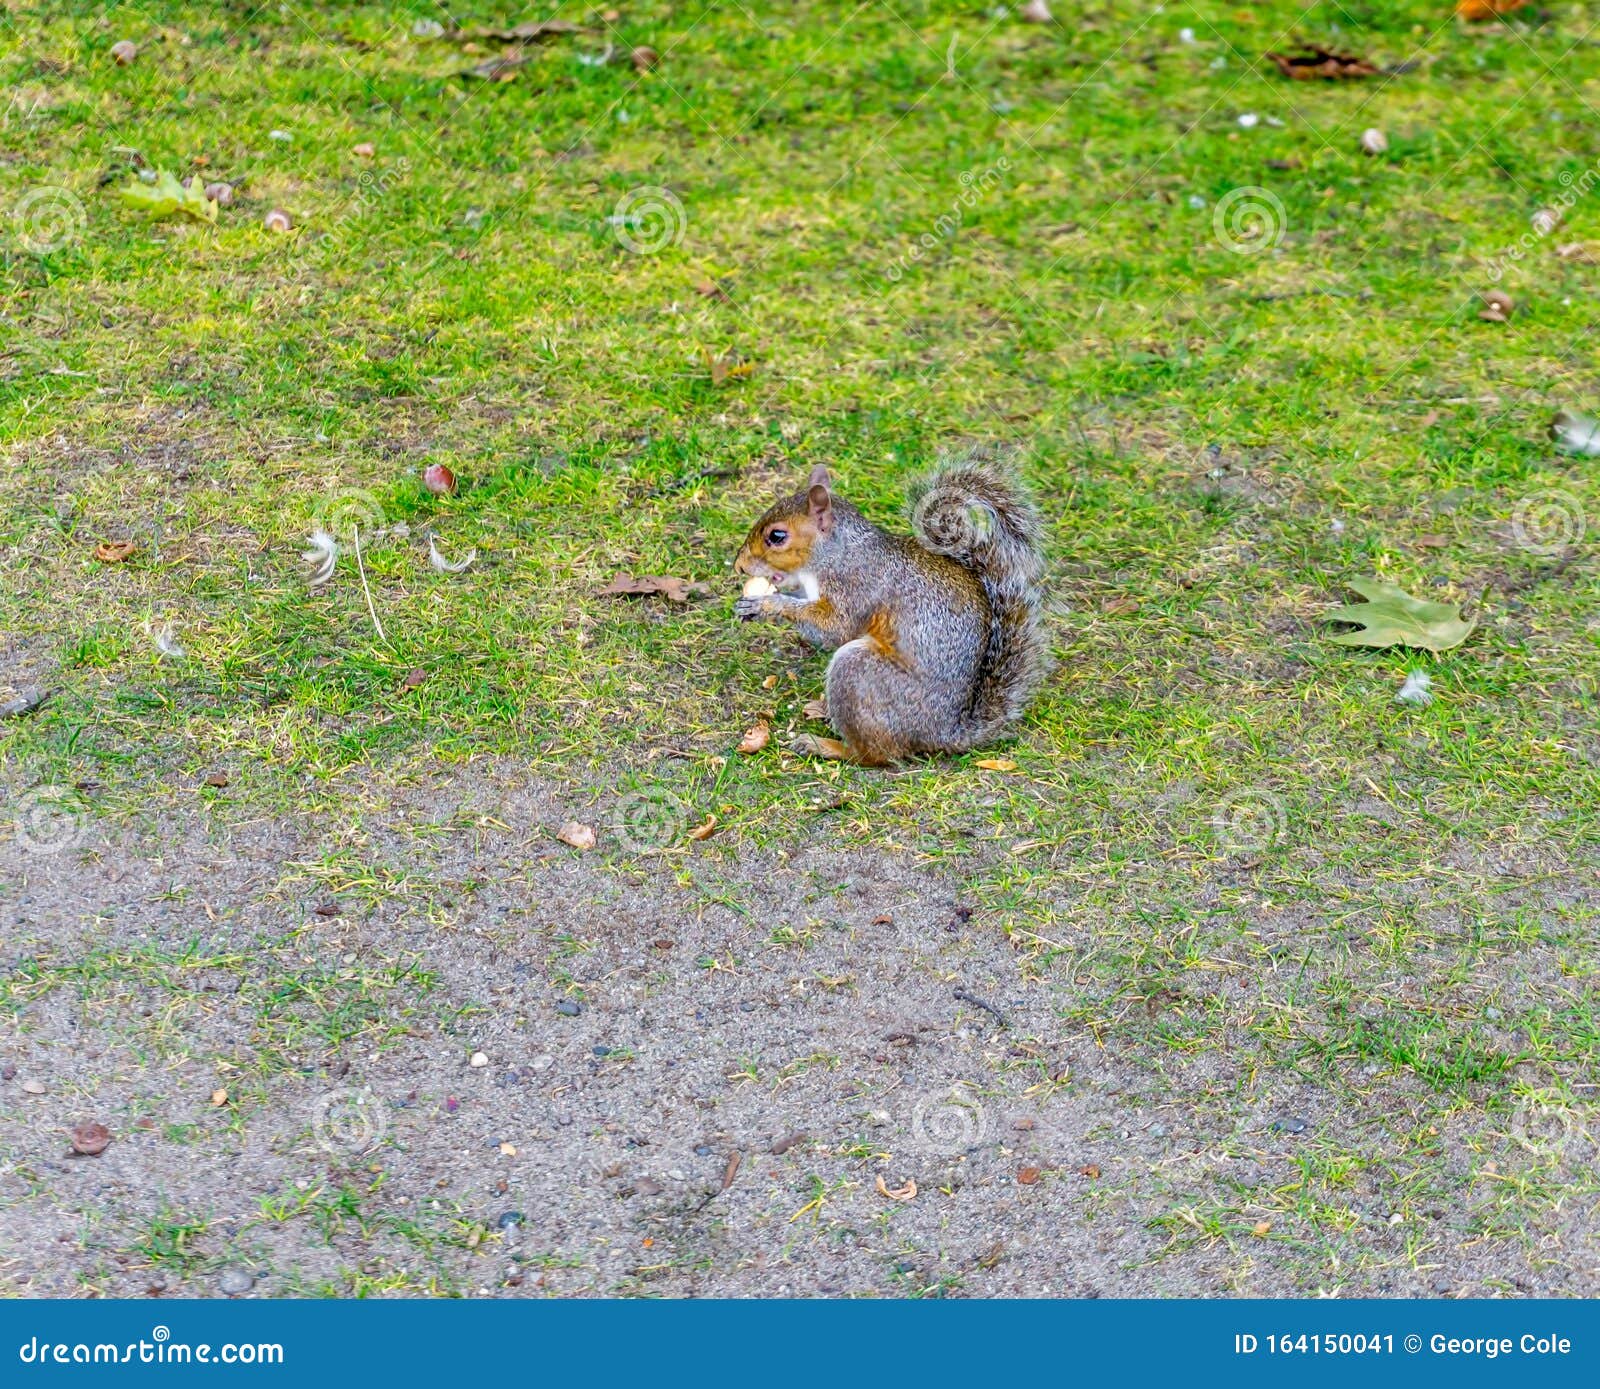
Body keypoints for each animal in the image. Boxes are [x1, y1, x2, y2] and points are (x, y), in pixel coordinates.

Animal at [733, 459, 1047, 765]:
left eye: (777, 536)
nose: (740, 566)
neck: (835, 552)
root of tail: (945, 733)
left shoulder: (856, 585)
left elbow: (835, 628)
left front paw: (767, 604)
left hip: (859, 673)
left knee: (875, 755)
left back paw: (827, 746)